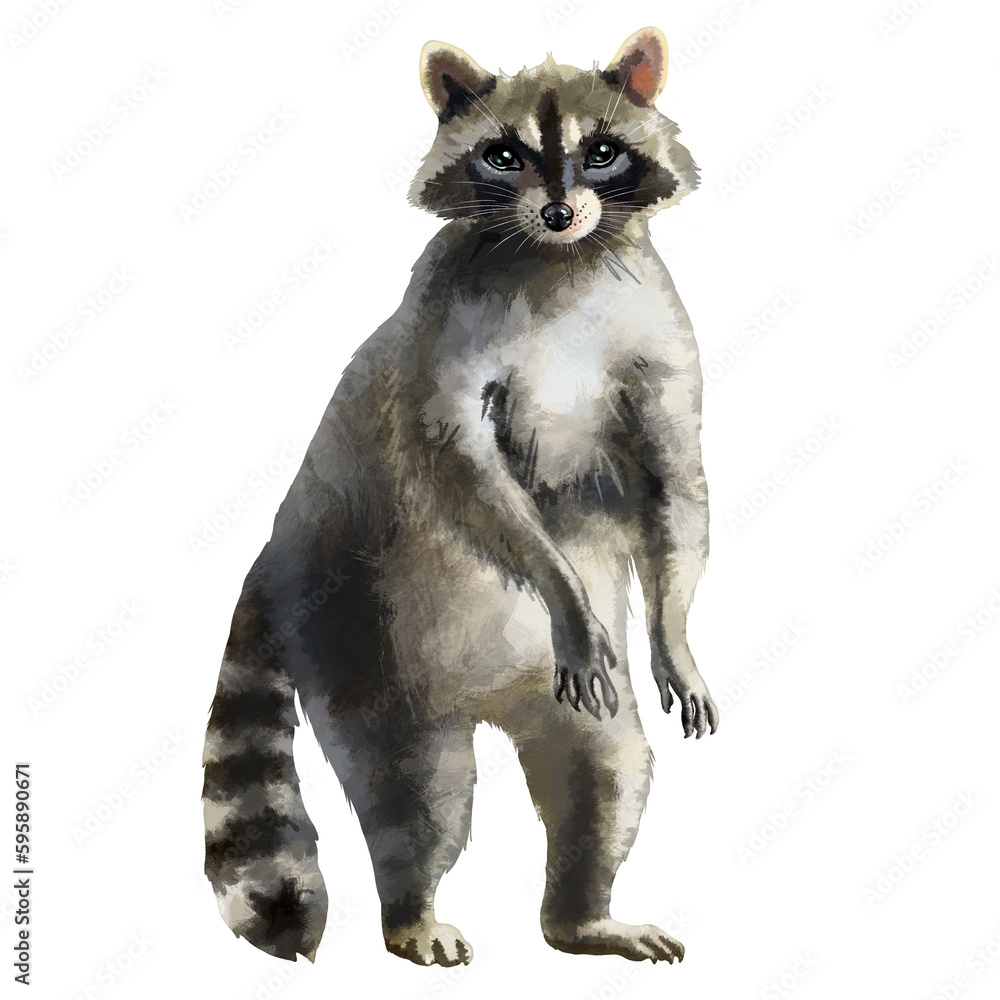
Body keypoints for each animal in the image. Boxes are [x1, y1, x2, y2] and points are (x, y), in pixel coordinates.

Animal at [202, 26, 718, 968]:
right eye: (503, 155)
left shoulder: (658, 331)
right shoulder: (441, 334)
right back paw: (410, 915)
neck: (557, 262)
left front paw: (676, 633)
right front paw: (564, 591)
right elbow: (467, 471)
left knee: (610, 767)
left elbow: (676, 482)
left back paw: (579, 918)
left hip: (559, 699)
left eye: (601, 152)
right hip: (363, 645)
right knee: (416, 796)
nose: (559, 213)